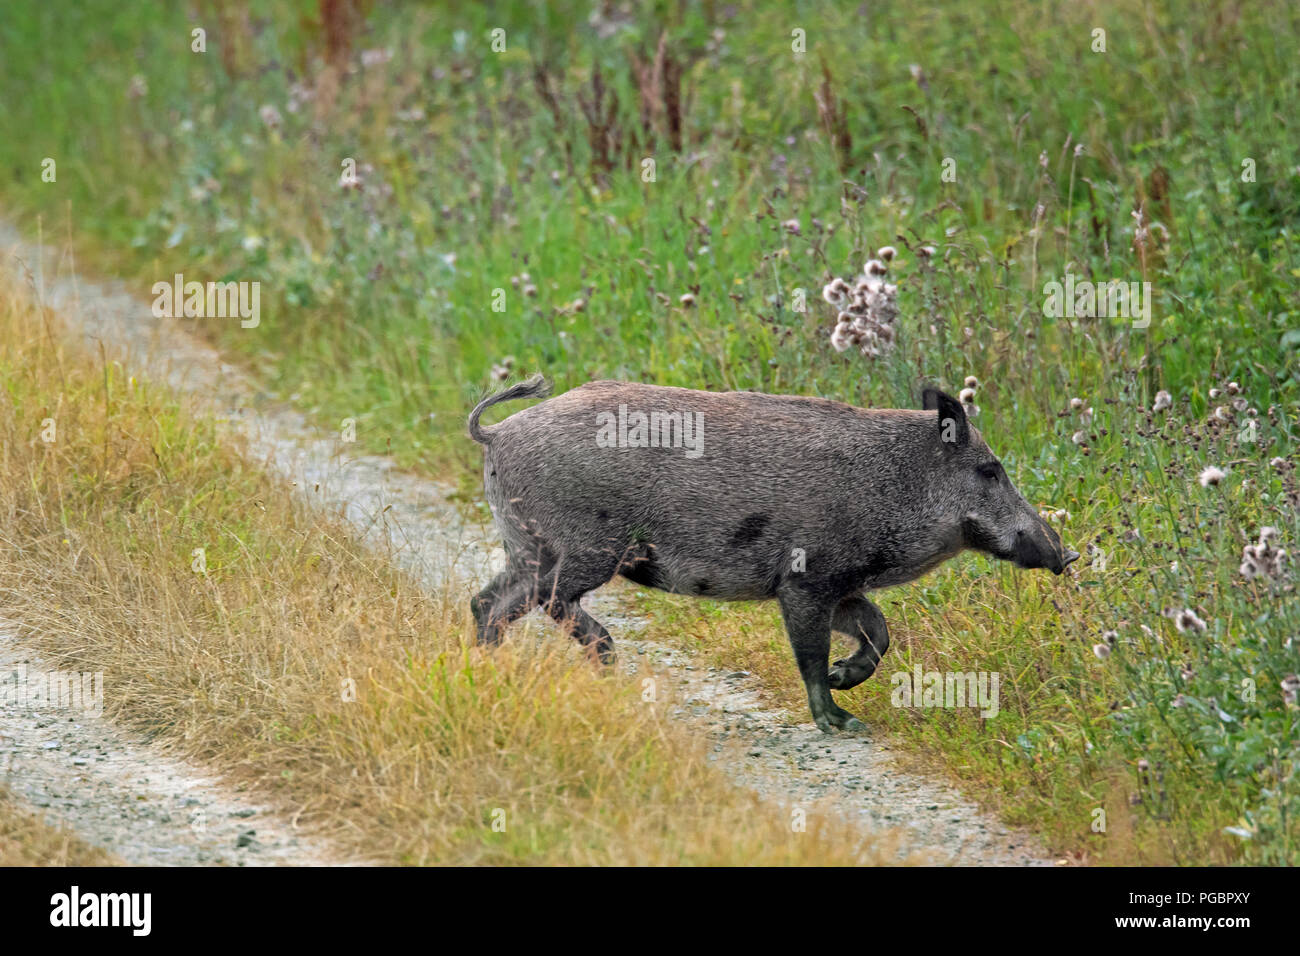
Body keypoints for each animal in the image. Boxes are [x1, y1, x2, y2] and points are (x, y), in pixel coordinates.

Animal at [468, 377, 1078, 733]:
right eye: (990, 470)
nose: (1067, 555)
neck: (895, 486)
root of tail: (496, 432)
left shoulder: (843, 585)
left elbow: (879, 632)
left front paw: (843, 679)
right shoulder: (804, 582)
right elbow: (810, 653)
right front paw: (842, 722)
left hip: (525, 544)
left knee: (488, 602)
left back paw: (490, 668)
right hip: (587, 547)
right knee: (544, 599)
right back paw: (603, 656)